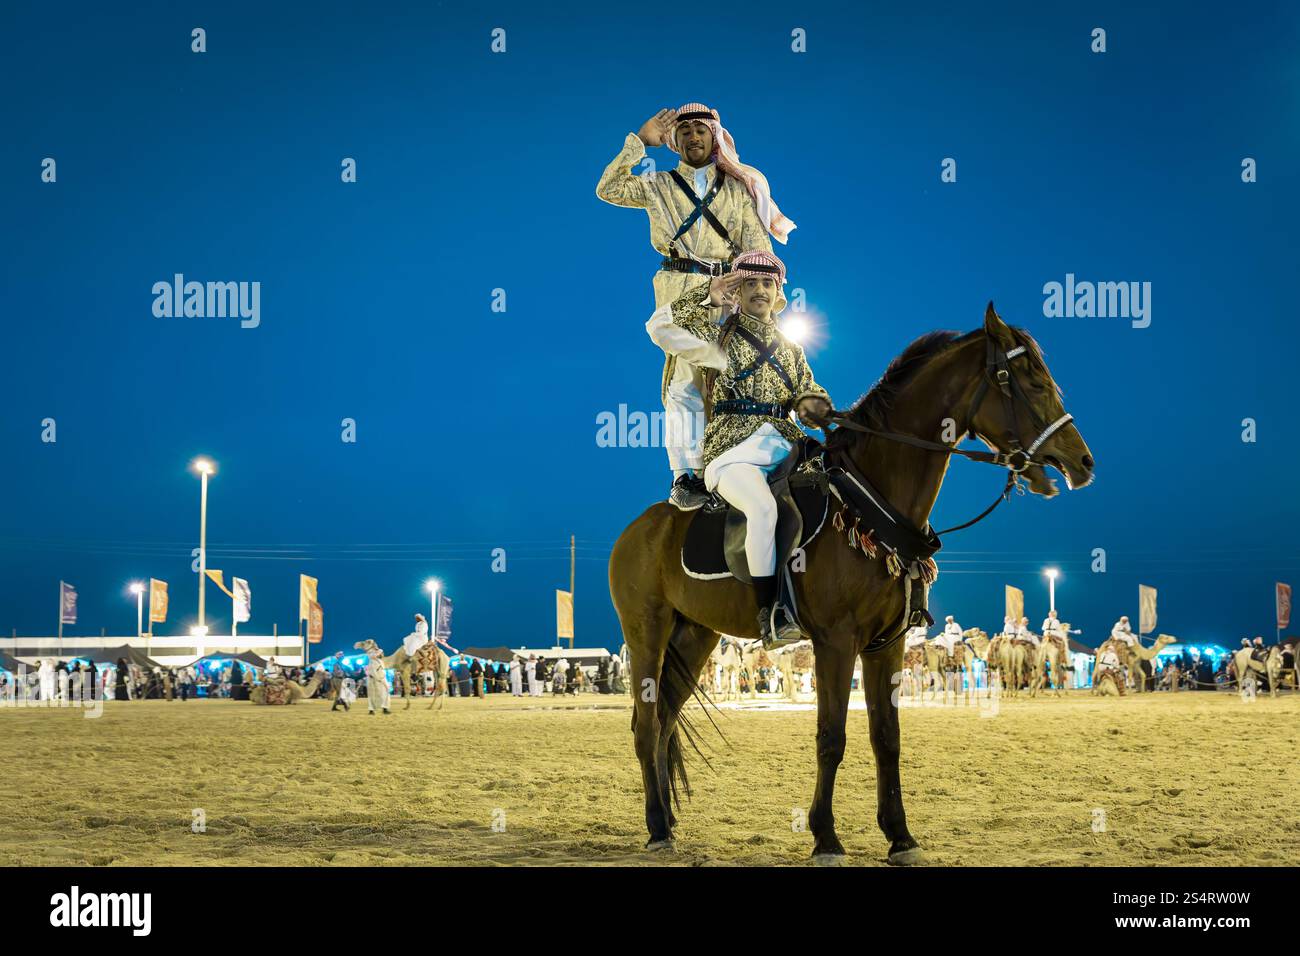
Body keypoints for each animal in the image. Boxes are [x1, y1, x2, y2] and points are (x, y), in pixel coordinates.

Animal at [609, 304, 1095, 862]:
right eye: (1028, 378)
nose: (1082, 462)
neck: (870, 502)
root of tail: (640, 526)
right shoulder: (836, 643)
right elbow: (832, 736)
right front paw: (825, 836)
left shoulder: (887, 645)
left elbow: (886, 737)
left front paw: (900, 835)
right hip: (647, 632)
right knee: (646, 725)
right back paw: (656, 828)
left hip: (695, 636)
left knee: (666, 721)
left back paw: (667, 819)